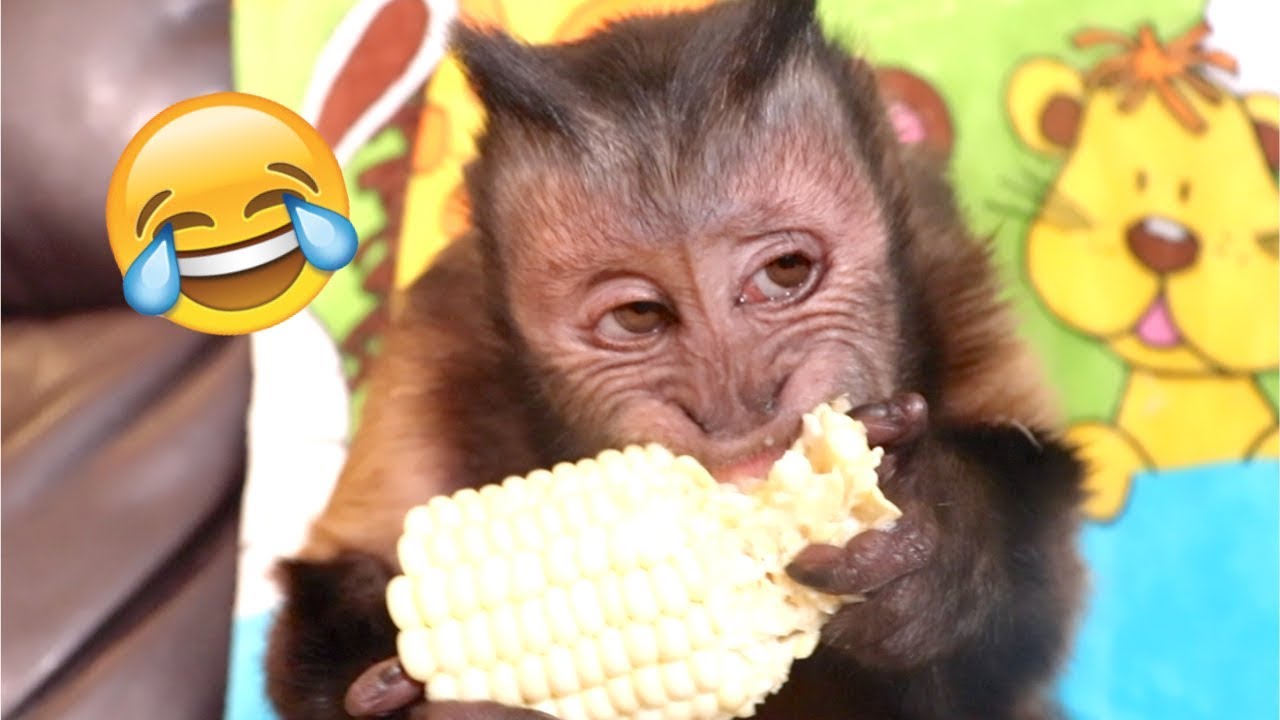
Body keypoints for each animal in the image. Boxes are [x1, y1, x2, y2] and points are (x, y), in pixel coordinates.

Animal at [265, 1, 1087, 719]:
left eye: (786, 272)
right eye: (638, 316)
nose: (737, 401)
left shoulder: (953, 272)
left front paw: (937, 545)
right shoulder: (437, 336)